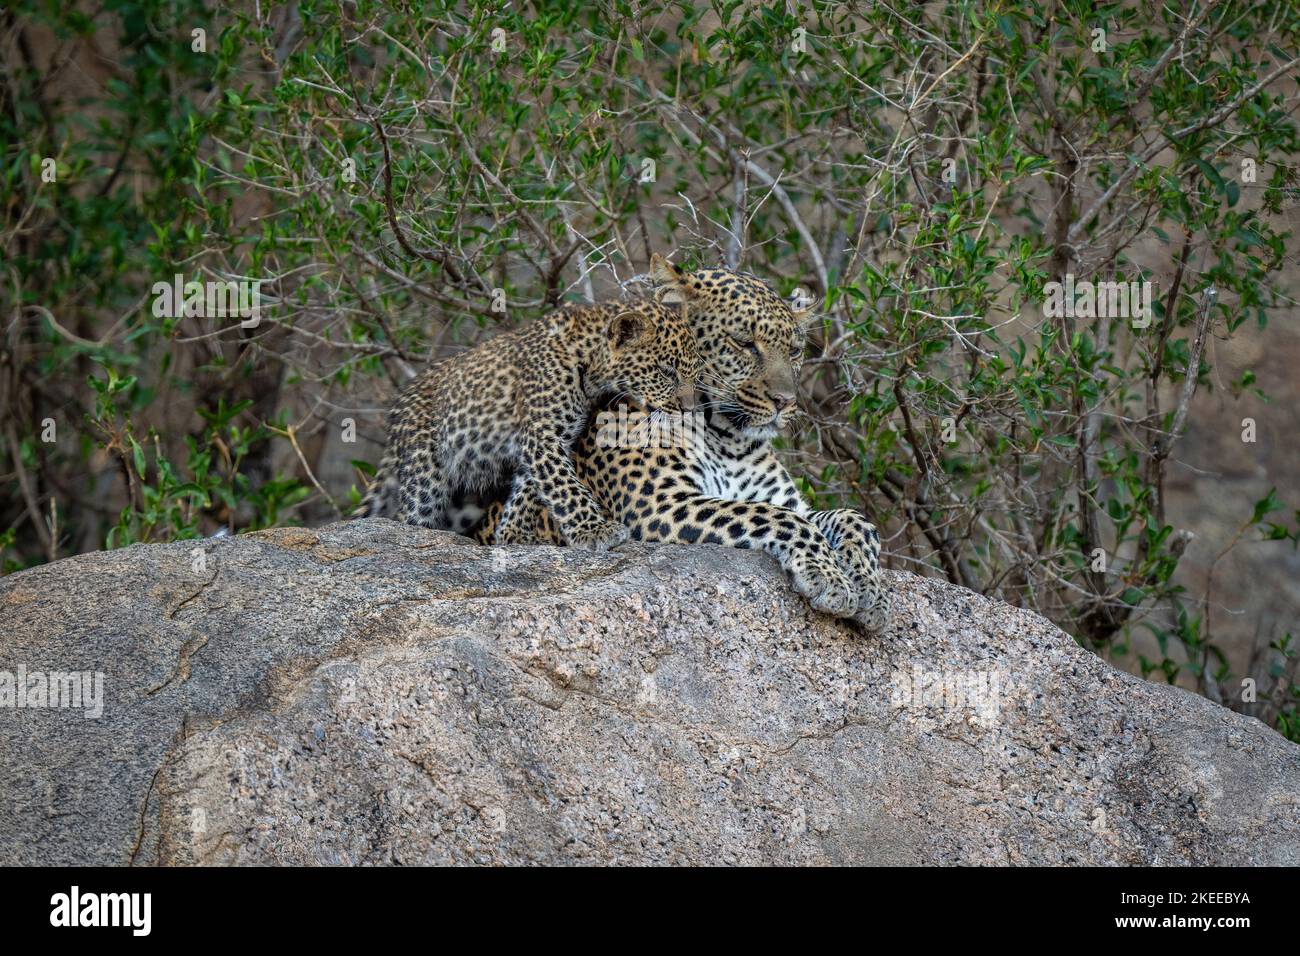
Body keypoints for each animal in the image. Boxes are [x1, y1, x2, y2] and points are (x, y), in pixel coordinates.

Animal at [356, 296, 700, 551]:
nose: (690, 408)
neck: (589, 362)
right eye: (666, 371)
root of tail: (399, 405)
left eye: (695, 373)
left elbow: (529, 490)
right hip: (425, 476)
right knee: (413, 516)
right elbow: (564, 485)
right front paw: (596, 530)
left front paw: (514, 534)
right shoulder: (542, 435)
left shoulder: (550, 437)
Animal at [469, 255, 891, 634]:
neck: (729, 439)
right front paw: (831, 578)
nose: (785, 402)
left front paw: (871, 591)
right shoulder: (657, 504)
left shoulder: (784, 499)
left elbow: (852, 518)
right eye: (744, 343)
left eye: (795, 351)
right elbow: (778, 518)